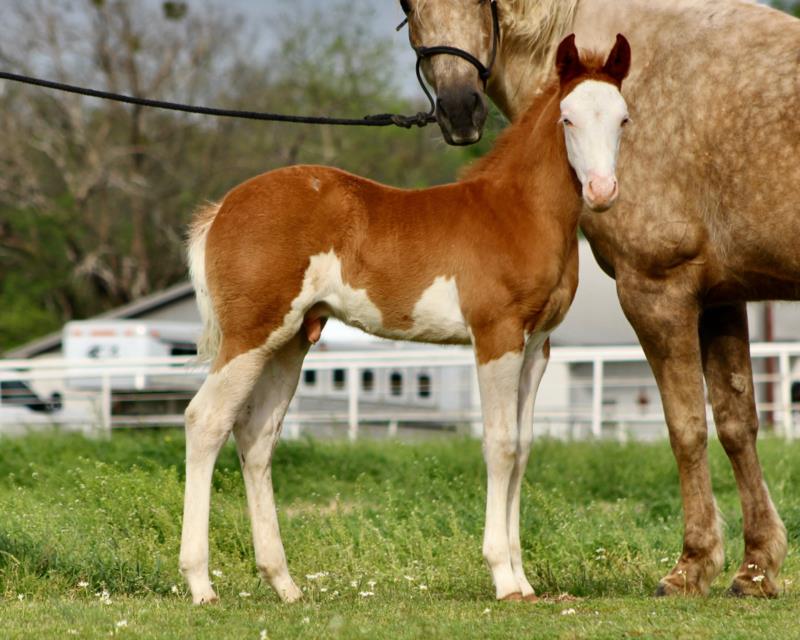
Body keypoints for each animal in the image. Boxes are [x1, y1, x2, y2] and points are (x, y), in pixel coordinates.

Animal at [178, 35, 631, 604]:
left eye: (623, 118)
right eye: (568, 119)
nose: (602, 191)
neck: (518, 211)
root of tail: (221, 210)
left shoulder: (536, 347)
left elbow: (524, 448)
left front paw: (524, 582)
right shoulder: (497, 336)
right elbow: (501, 446)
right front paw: (504, 578)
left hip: (290, 341)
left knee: (257, 438)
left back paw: (285, 585)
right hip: (250, 336)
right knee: (205, 422)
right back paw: (200, 584)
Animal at [398, 0, 798, 598]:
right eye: (406, 5)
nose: (459, 106)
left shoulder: (657, 289)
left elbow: (686, 427)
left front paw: (692, 565)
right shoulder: (721, 297)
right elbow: (736, 423)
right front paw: (755, 568)